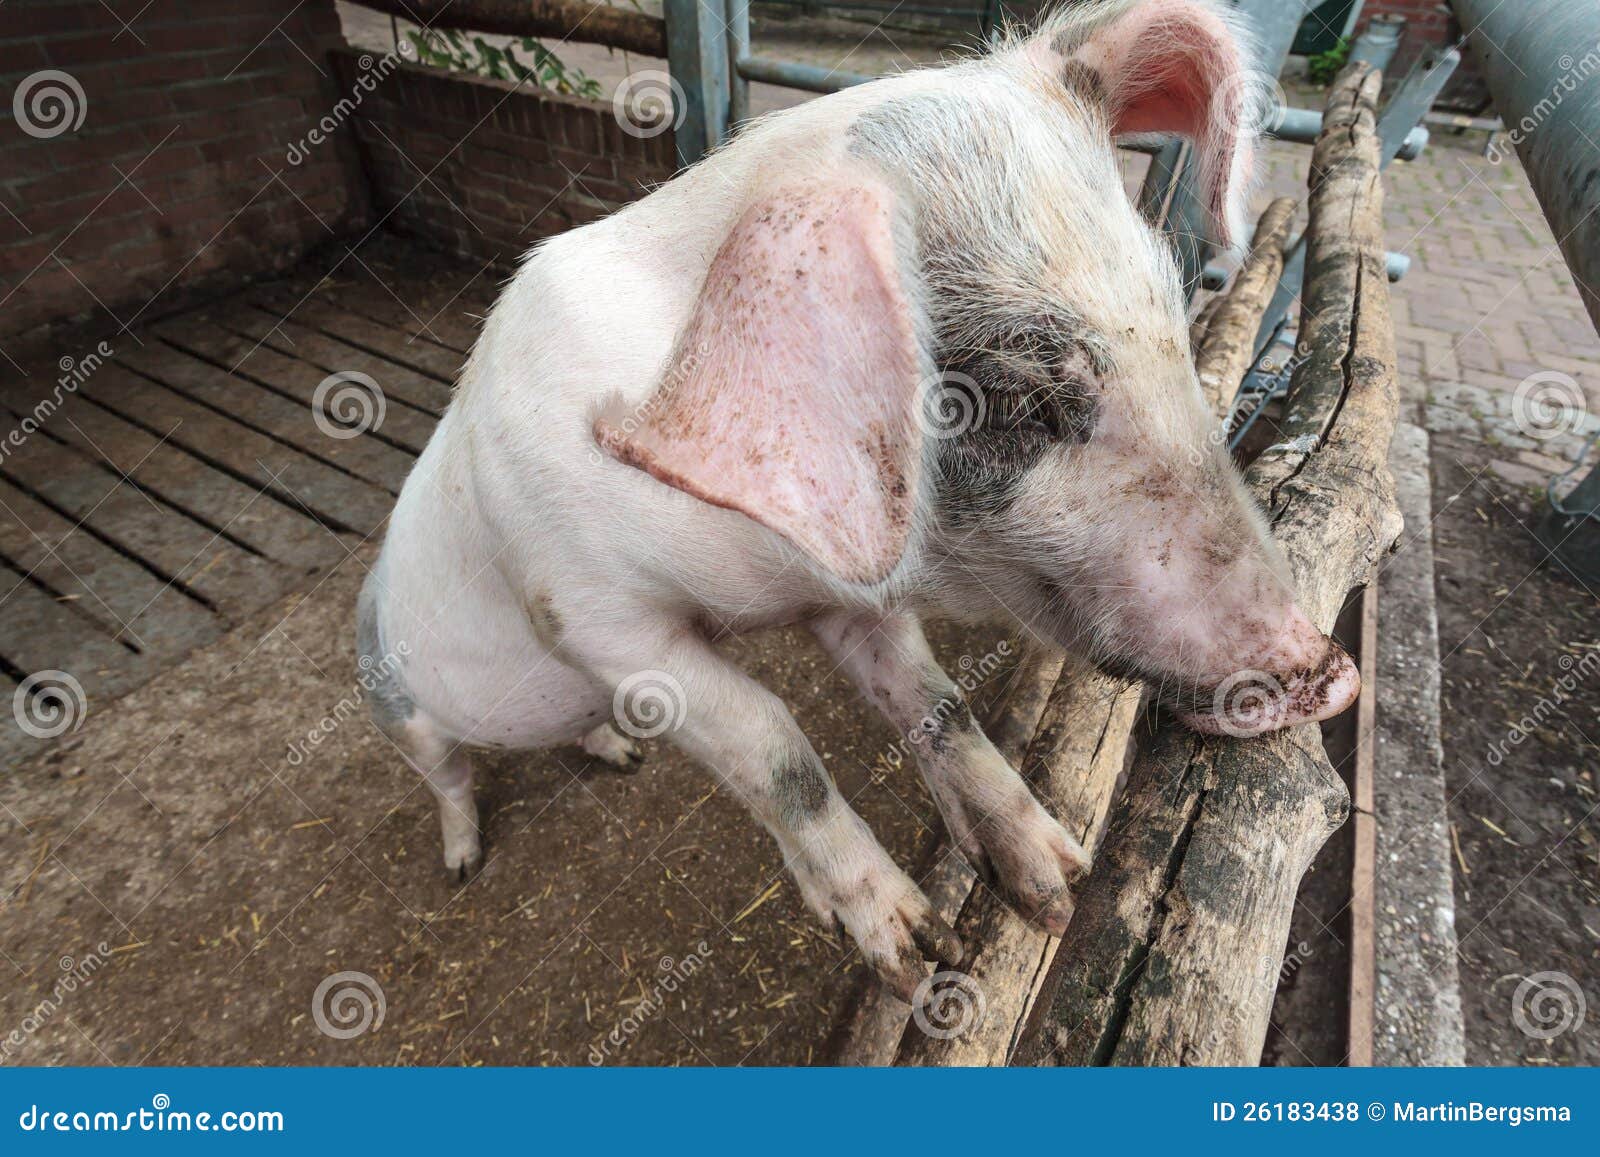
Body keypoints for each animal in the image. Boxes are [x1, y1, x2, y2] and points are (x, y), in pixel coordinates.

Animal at [357, 0, 1361, 1002]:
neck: (759, 574)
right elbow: (774, 744)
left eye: (1175, 321)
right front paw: (918, 956)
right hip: (398, 708)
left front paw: (1055, 887)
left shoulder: (850, 596)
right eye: (1023, 399)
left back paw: (617, 754)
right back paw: (462, 863)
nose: (1333, 672)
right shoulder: (586, 616)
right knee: (447, 775)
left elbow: (940, 703)